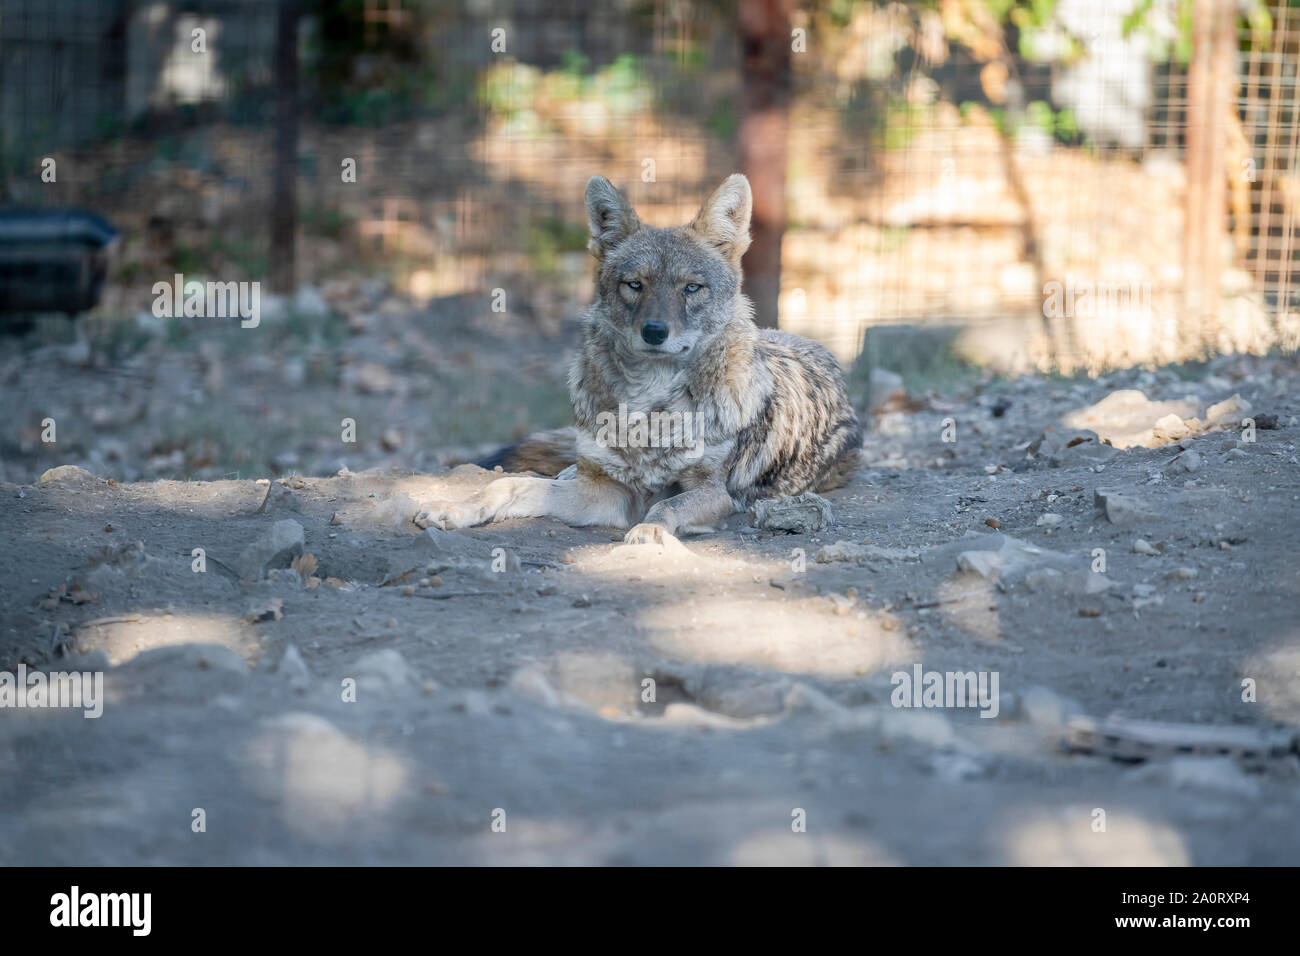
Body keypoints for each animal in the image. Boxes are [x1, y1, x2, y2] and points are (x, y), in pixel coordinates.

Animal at [417, 173, 862, 544]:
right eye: (635, 284)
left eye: (691, 288)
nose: (654, 331)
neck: (649, 406)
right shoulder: (604, 490)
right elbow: (510, 484)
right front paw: (452, 509)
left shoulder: (713, 493)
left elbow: (666, 504)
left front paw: (650, 531)